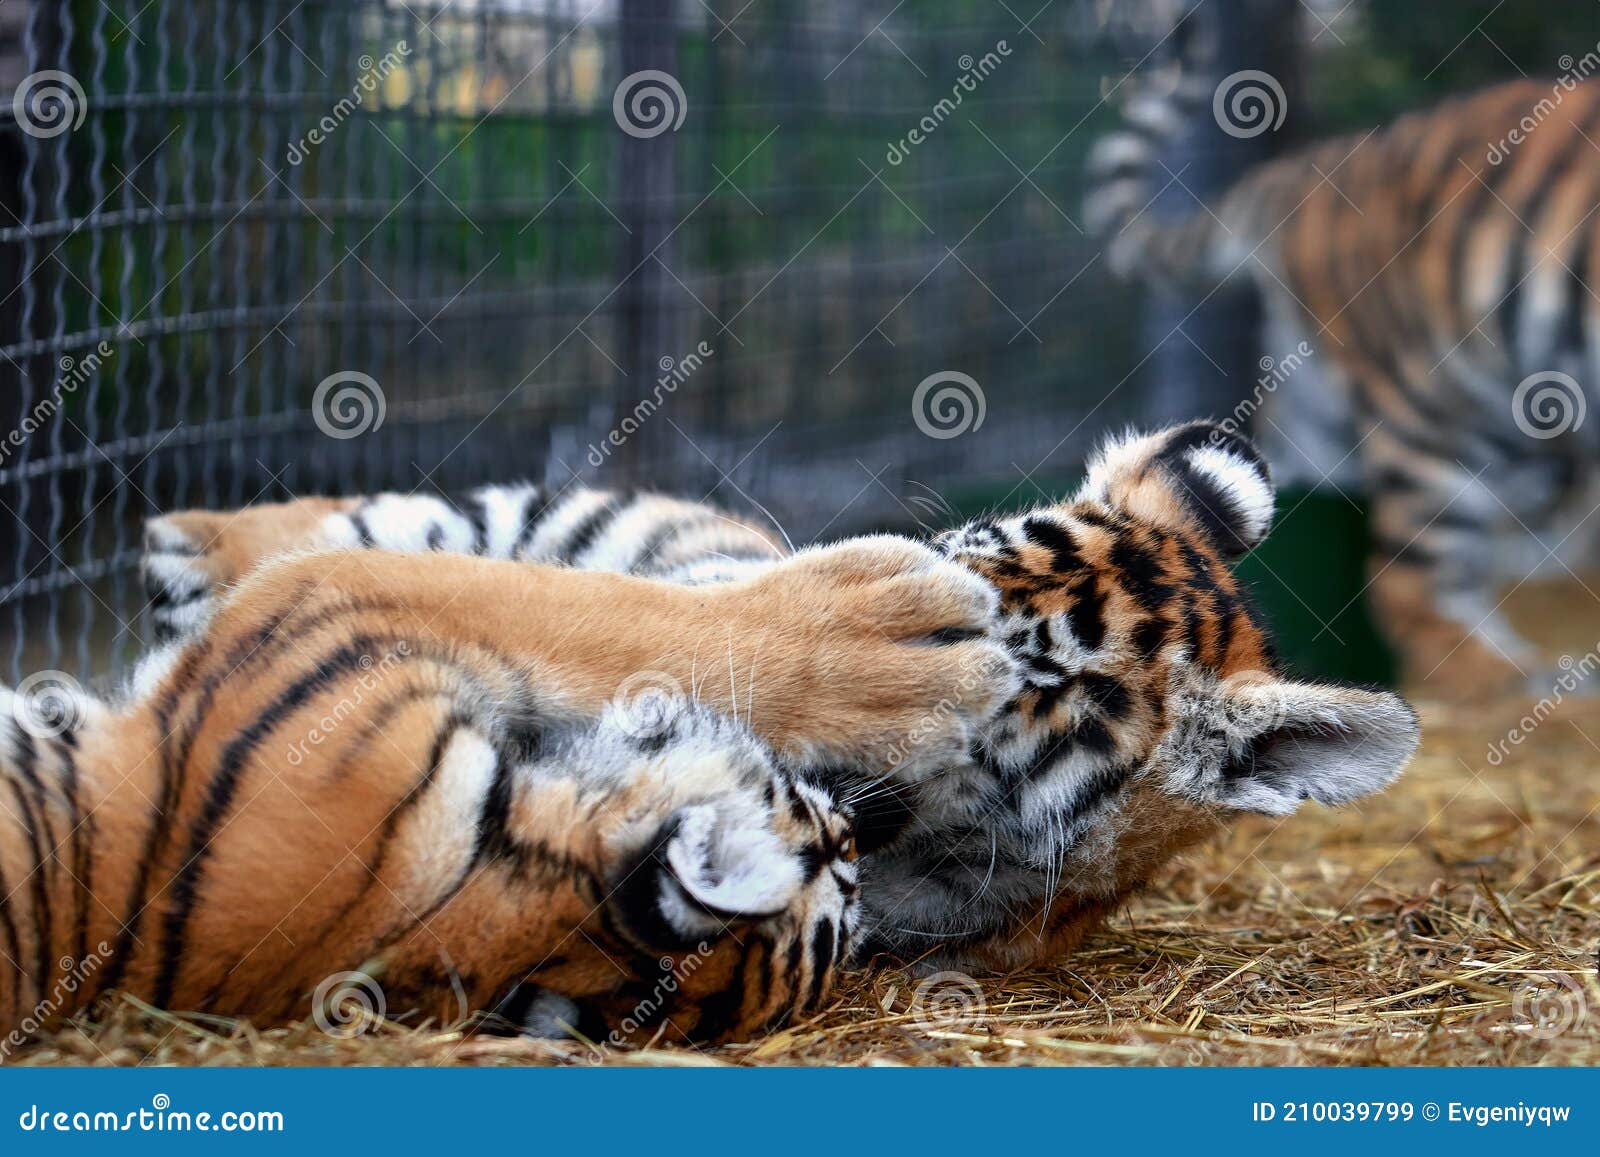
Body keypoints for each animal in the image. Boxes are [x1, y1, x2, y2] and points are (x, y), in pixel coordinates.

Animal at [138, 420, 1419, 980]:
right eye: (966, 554)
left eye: (1050, 682)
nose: (934, 585)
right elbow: (592, 611)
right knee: (406, 516)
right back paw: (192, 547)